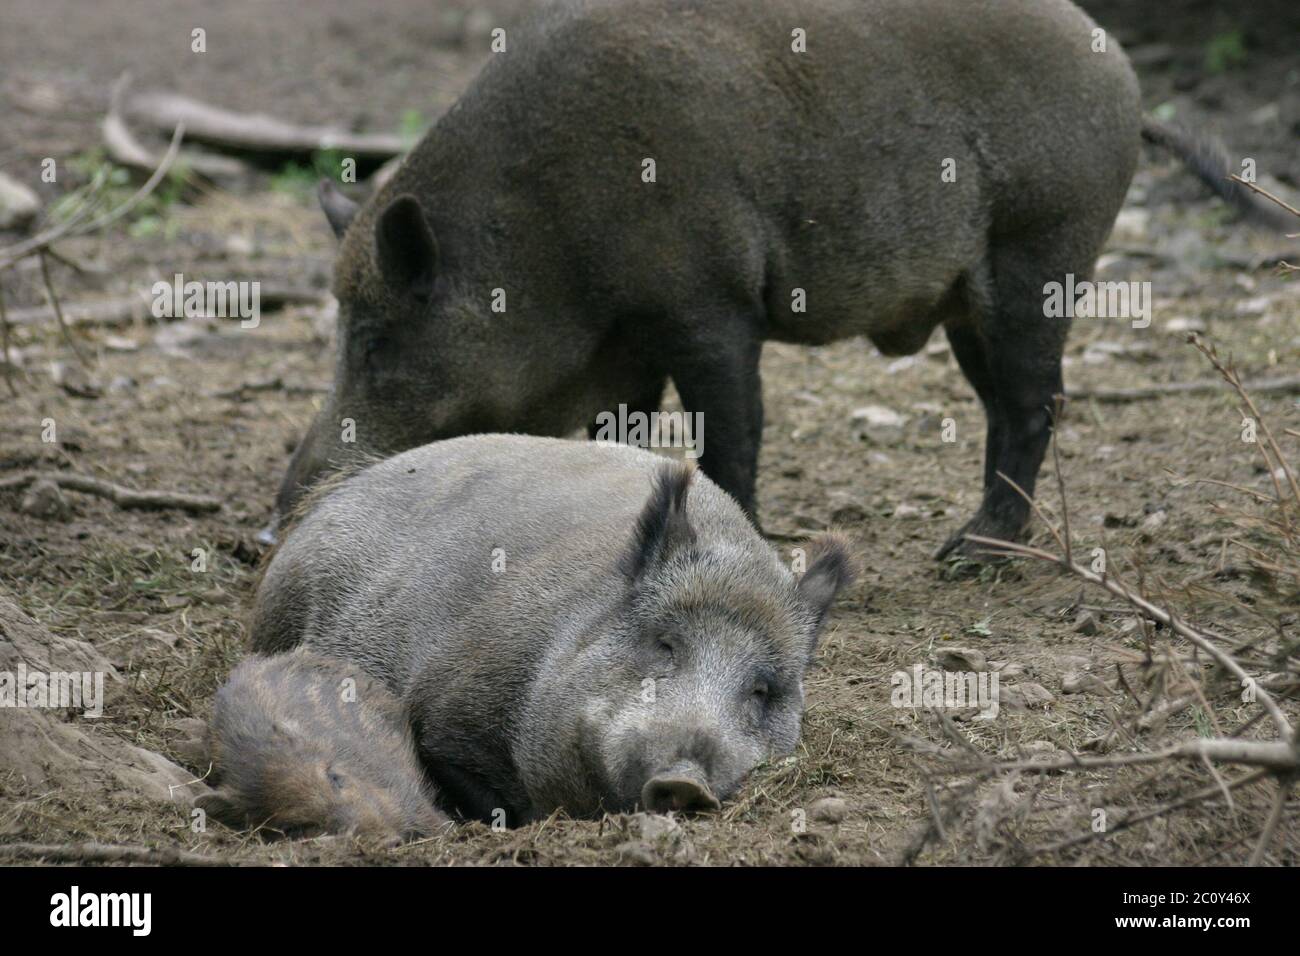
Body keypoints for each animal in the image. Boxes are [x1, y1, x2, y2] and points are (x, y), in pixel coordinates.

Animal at [269, 0, 1284, 557]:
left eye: (376, 339)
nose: (279, 515)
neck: (545, 237)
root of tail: (1126, 79)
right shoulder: (625, 348)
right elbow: (619, 435)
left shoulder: (710, 304)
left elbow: (732, 430)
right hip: (973, 298)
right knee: (1007, 404)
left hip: (1044, 247)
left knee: (1038, 401)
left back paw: (973, 556)